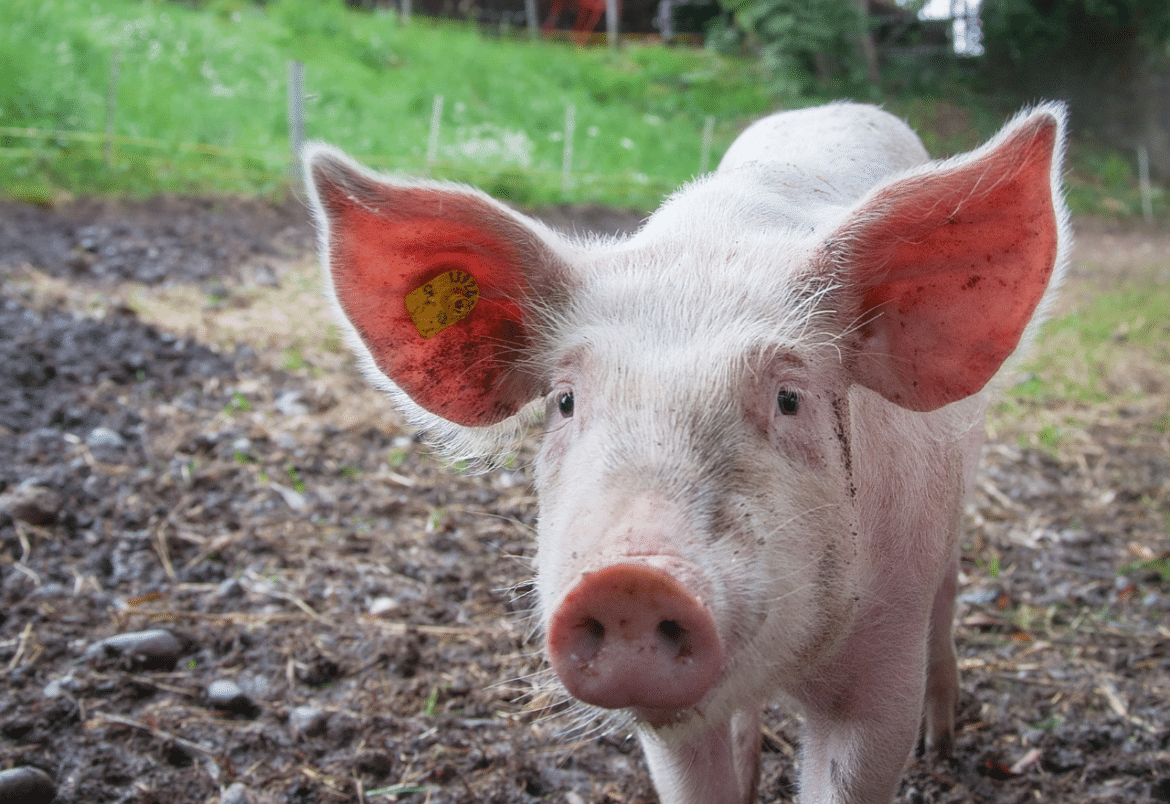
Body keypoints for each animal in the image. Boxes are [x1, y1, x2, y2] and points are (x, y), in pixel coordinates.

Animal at [303, 101, 1069, 804]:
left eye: (790, 398)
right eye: (565, 401)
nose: (631, 581)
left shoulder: (884, 666)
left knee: (948, 596)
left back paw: (944, 743)